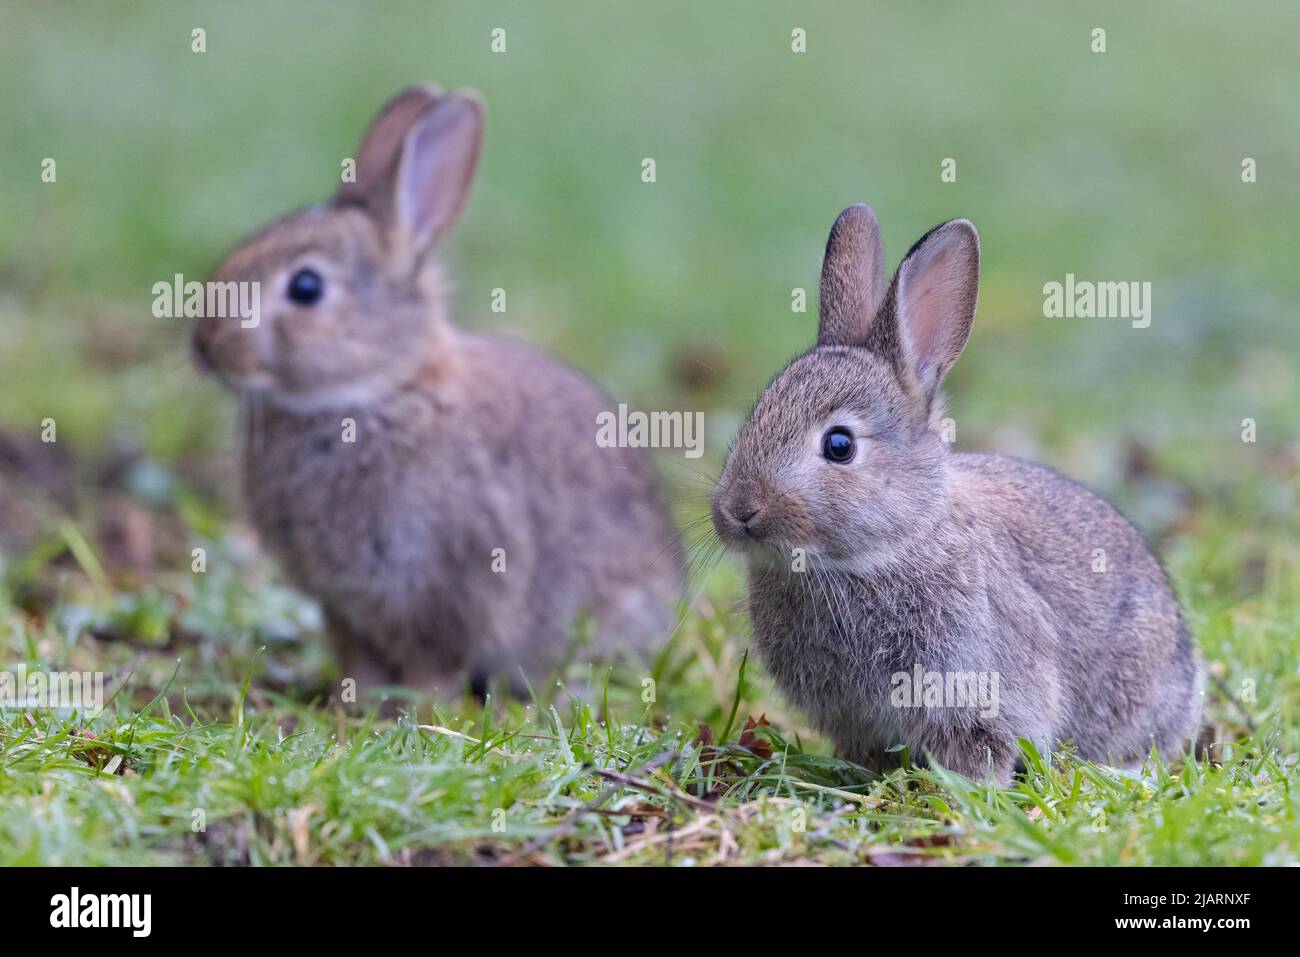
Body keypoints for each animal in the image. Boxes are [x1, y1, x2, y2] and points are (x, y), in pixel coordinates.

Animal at [192, 85, 682, 700]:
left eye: (306, 287)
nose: (204, 345)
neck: (376, 392)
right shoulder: (341, 602)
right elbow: (358, 656)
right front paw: (354, 700)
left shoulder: (446, 577)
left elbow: (437, 658)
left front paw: (421, 705)